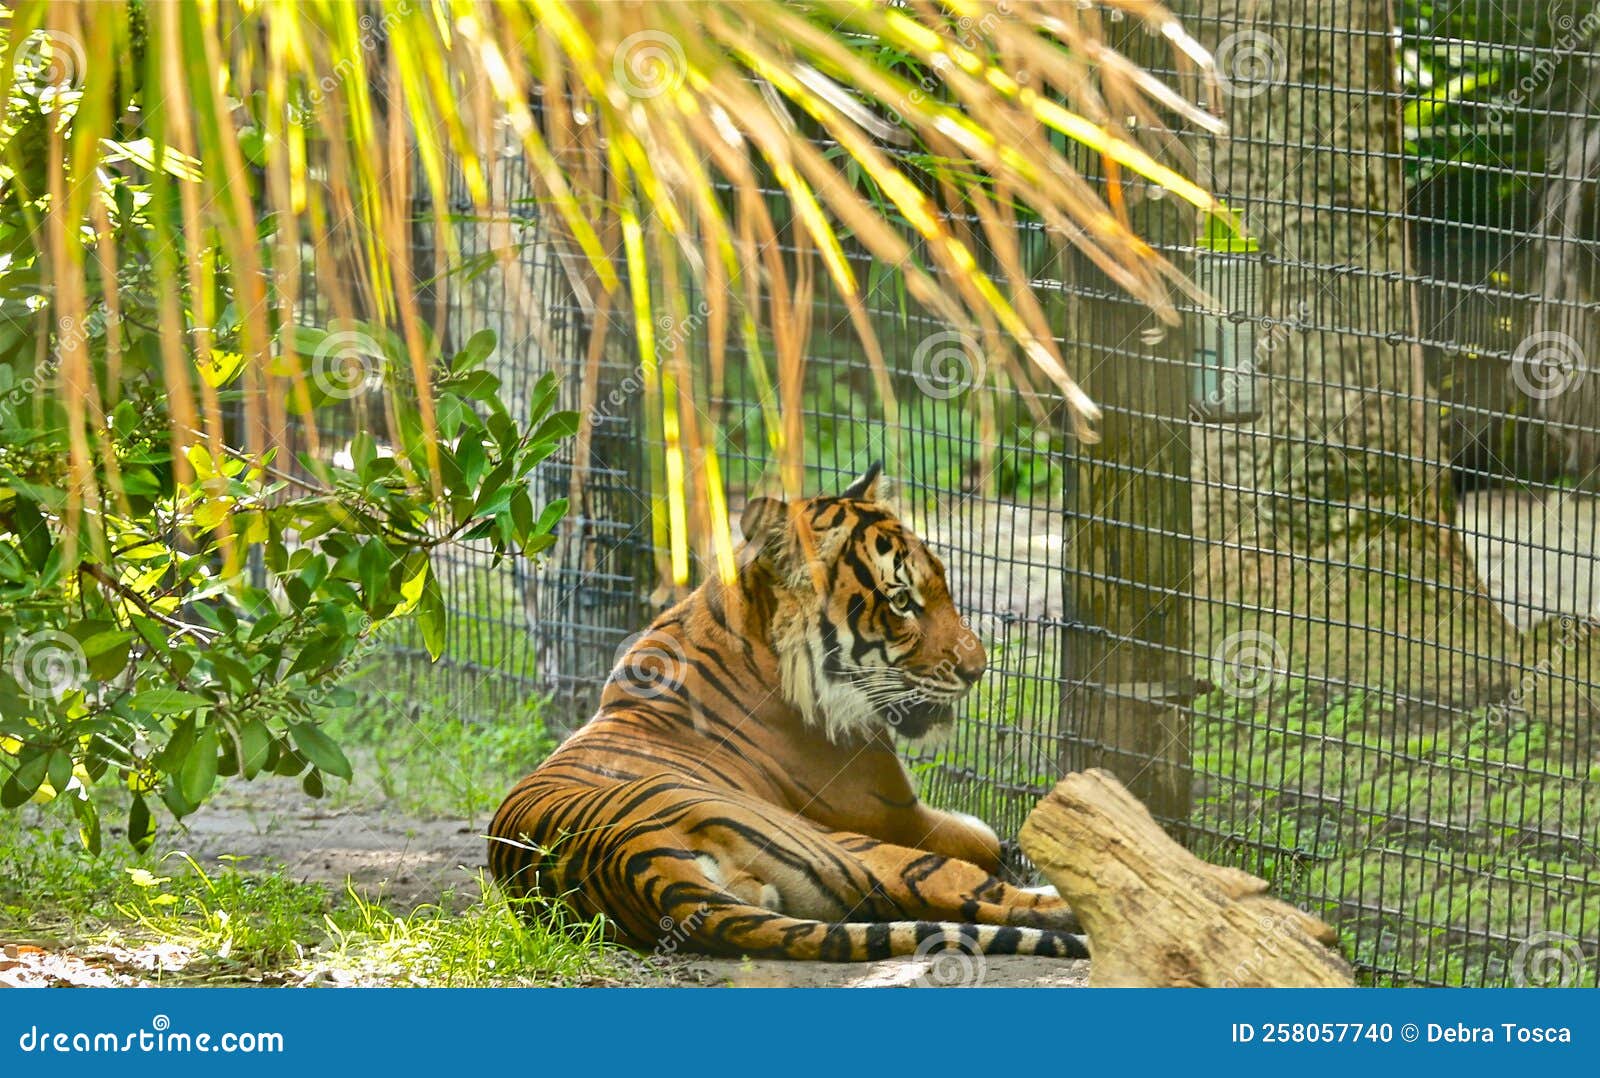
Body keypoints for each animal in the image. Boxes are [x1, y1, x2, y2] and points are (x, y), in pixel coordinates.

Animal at [488, 464, 1086, 962]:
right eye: (901, 602)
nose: (978, 670)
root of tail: (639, 866)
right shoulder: (901, 815)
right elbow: (983, 836)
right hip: (853, 848)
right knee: (988, 898)